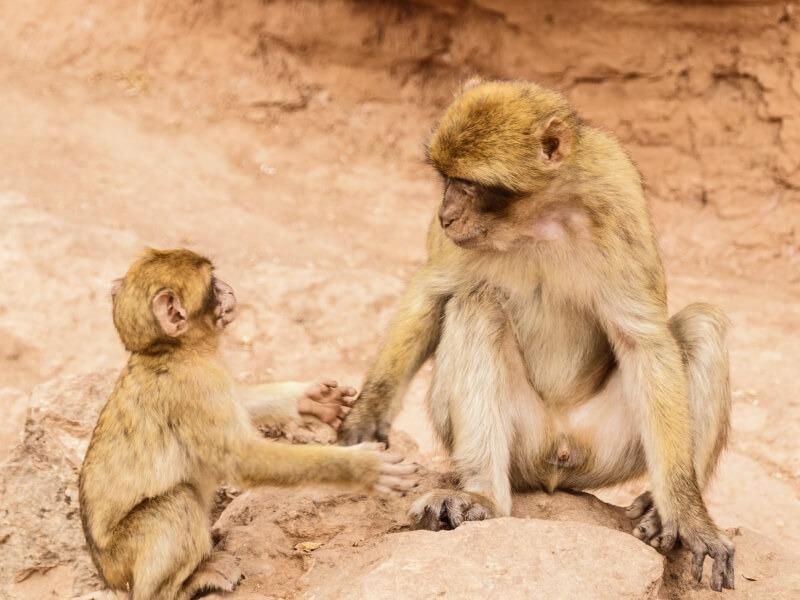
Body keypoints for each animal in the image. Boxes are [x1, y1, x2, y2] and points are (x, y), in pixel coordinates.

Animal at [79, 248, 418, 600]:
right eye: (213, 282)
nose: (228, 287)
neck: (172, 351)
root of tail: (107, 576)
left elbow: (240, 404)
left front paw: (312, 401)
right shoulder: (194, 388)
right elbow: (240, 459)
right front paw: (364, 467)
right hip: (125, 560)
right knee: (176, 503)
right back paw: (189, 582)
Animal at [339, 80, 734, 591]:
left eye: (470, 185)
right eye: (447, 179)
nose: (446, 214)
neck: (537, 219)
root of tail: (558, 453)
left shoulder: (619, 201)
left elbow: (644, 343)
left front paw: (688, 514)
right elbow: (432, 294)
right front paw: (366, 416)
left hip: (603, 448)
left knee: (702, 325)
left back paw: (658, 506)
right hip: (523, 448)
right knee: (477, 305)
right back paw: (483, 498)